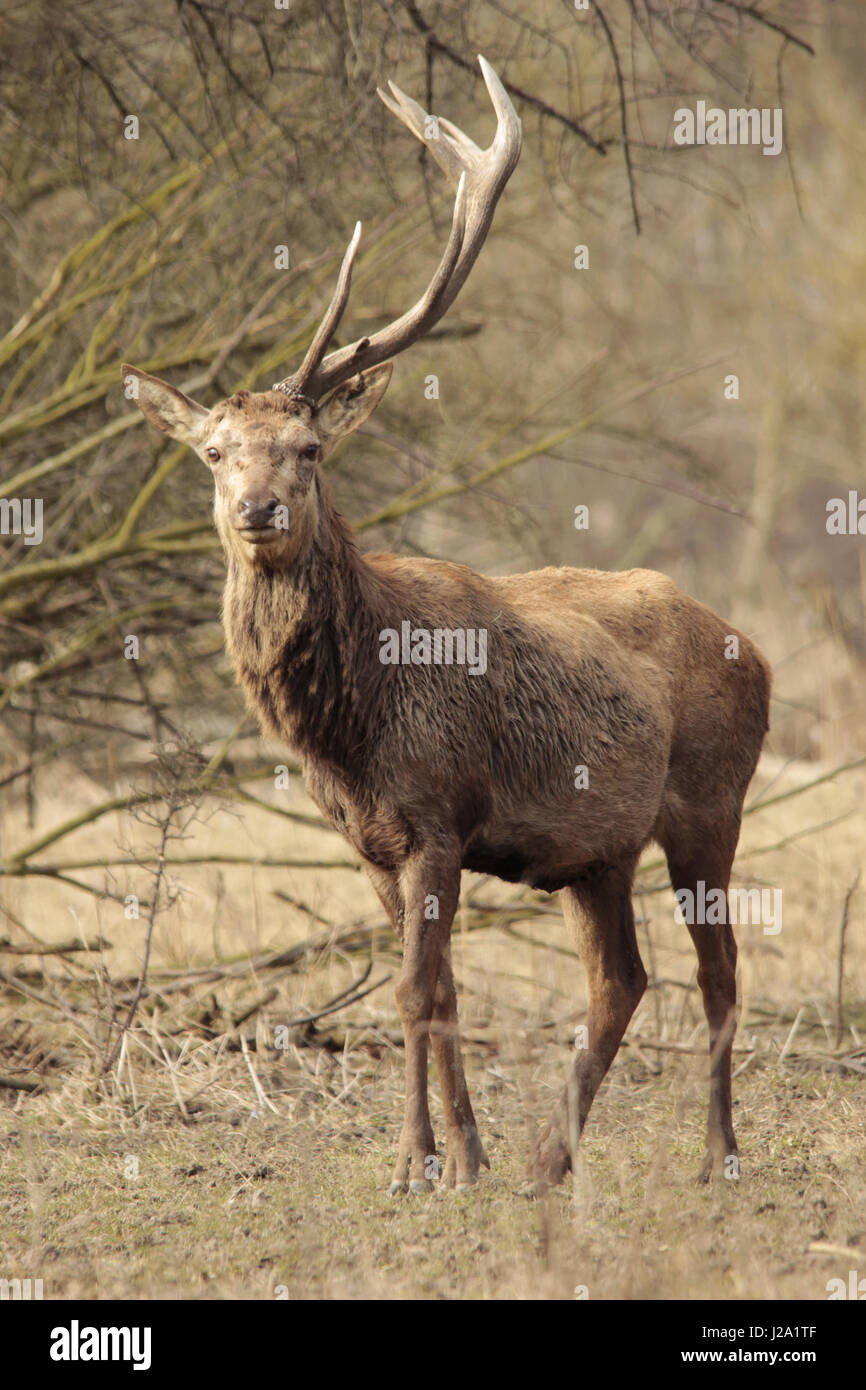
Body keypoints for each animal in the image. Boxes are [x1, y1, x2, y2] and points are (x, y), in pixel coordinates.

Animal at [122, 56, 771, 1195]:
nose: (258, 510)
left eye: (308, 450)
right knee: (623, 979)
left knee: (720, 971)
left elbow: (413, 994)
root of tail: (764, 656)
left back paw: (716, 1155)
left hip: (708, 805)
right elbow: (443, 993)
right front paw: (465, 1158)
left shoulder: (437, 814)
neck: (353, 725)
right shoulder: (371, 841)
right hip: (596, 850)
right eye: (212, 452)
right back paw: (549, 1157)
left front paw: (411, 1163)